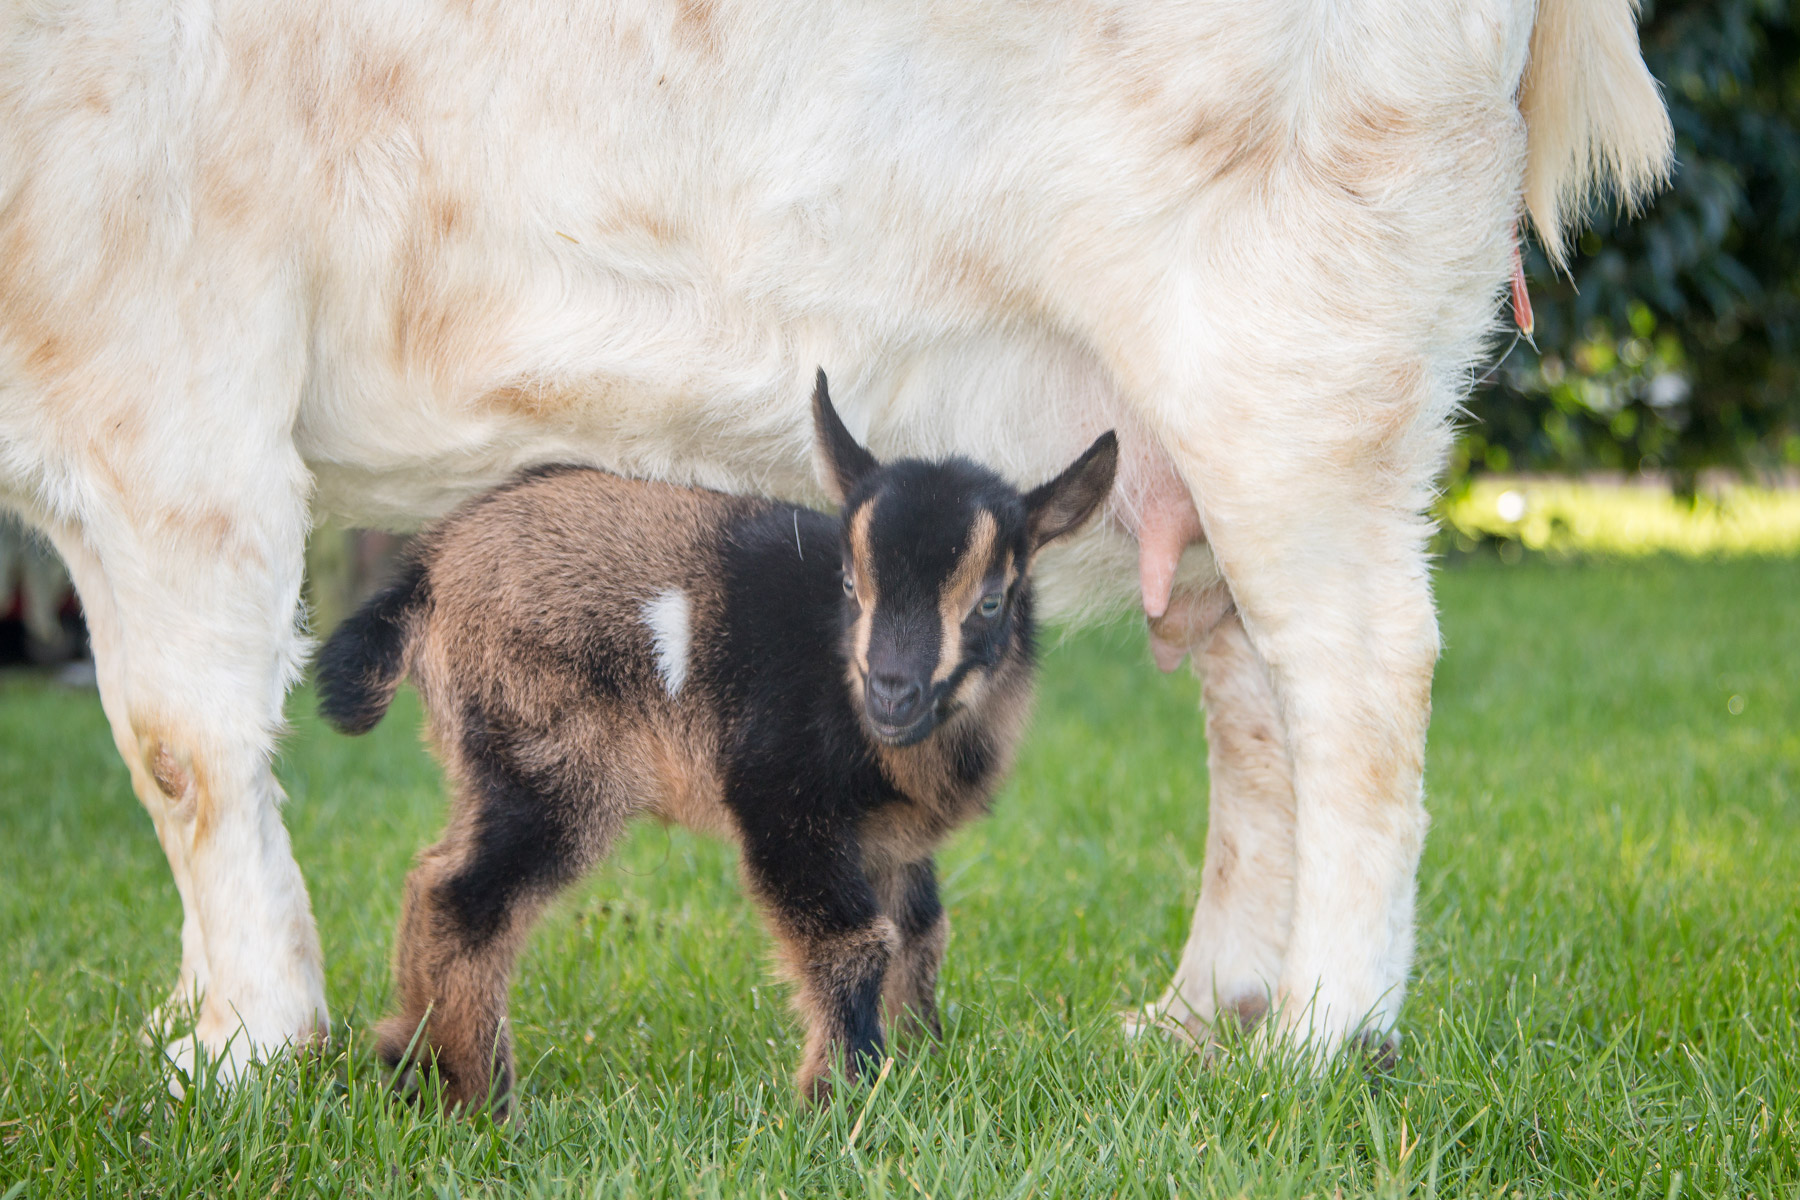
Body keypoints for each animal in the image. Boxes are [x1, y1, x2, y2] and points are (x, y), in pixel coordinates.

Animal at [315, 374, 1117, 1110]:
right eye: (849, 586)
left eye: (990, 602)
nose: (891, 692)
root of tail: (430, 570)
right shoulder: (781, 800)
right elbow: (855, 940)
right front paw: (845, 1097)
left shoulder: (890, 838)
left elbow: (919, 931)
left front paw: (923, 1059)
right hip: (549, 759)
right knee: (464, 895)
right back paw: (475, 1095)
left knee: (434, 871)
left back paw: (411, 1062)